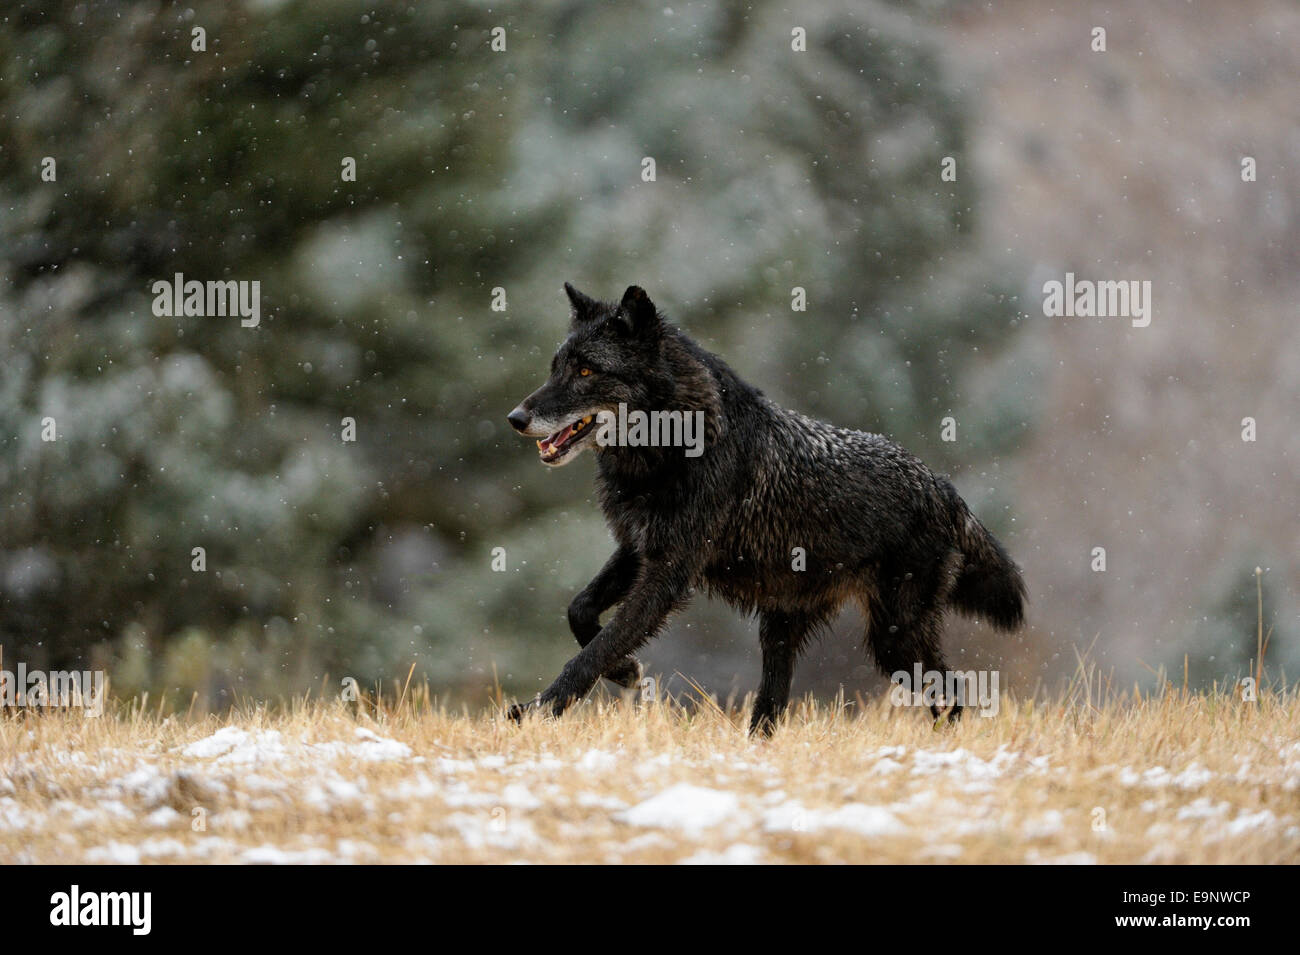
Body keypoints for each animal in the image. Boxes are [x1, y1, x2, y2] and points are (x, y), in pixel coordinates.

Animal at [506, 283, 1026, 735]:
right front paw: (625, 672)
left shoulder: (668, 573)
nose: (515, 418)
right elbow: (579, 610)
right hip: (784, 631)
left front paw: (536, 711)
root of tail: (943, 488)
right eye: (556, 368)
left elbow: (593, 651)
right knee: (771, 711)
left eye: (586, 372)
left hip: (894, 638)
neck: (674, 446)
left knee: (952, 694)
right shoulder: (638, 548)